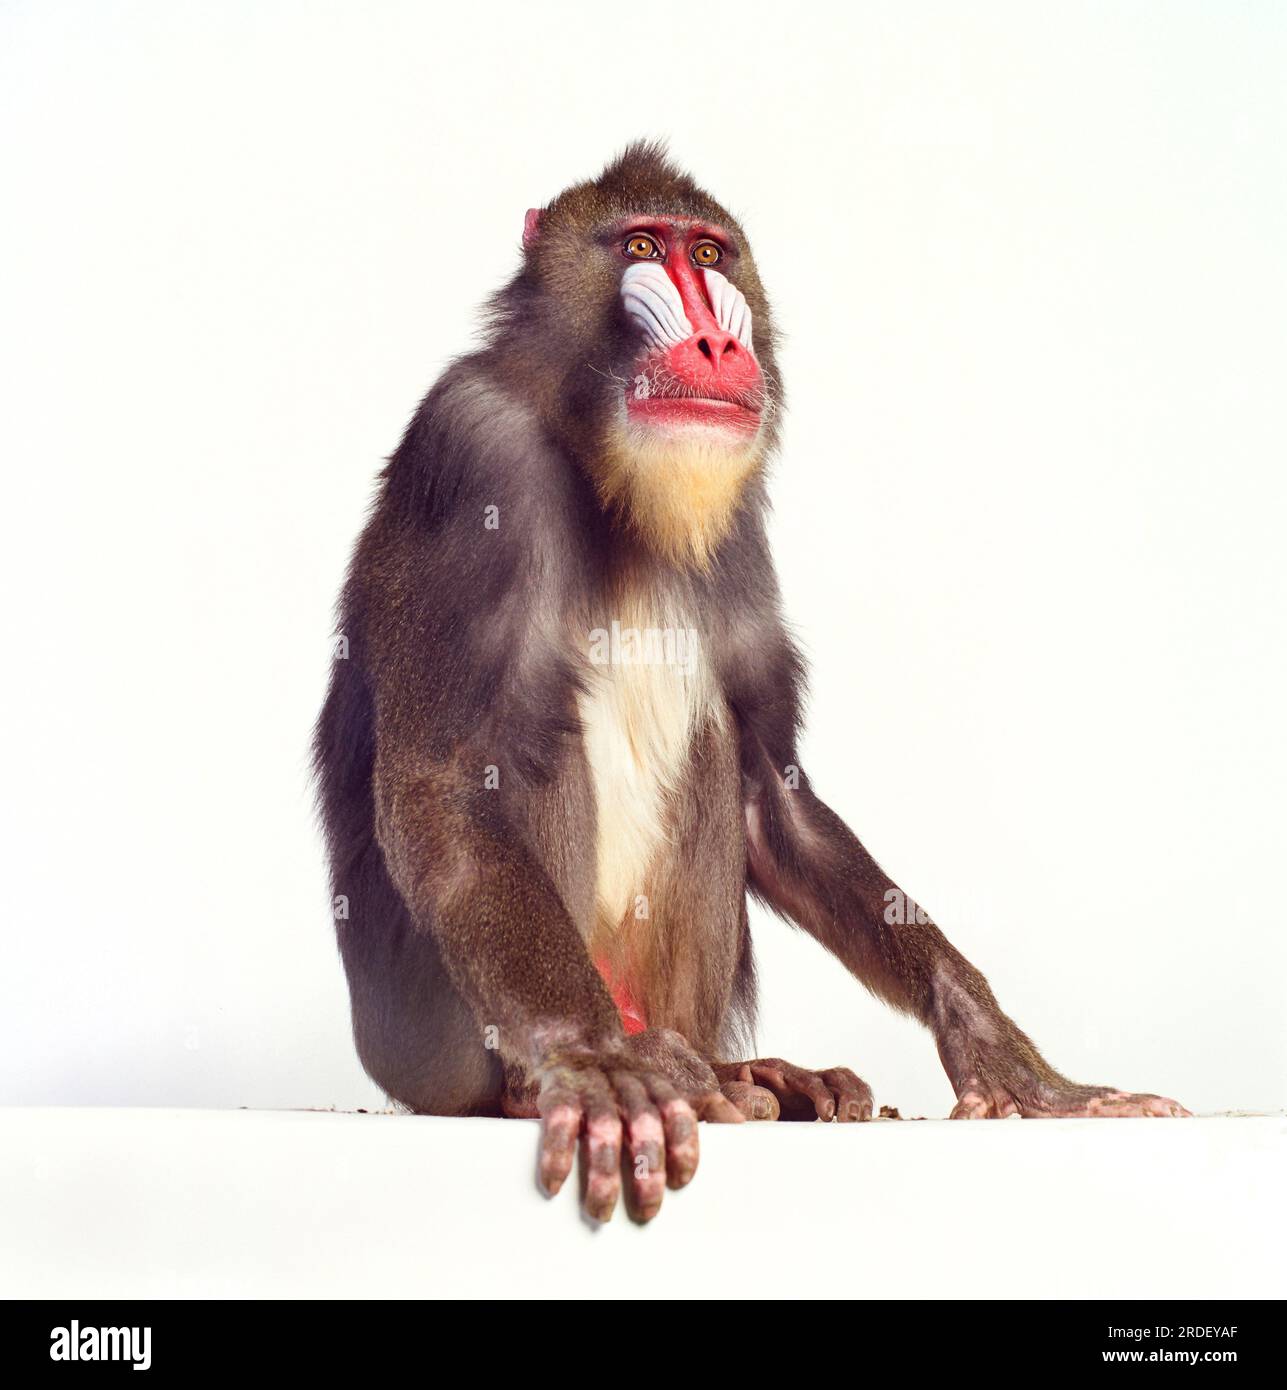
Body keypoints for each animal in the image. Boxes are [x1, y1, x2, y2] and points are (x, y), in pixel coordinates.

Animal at [313, 141, 1189, 1224]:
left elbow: (774, 788)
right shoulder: (472, 454)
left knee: (713, 747)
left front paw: (1010, 1059)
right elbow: (443, 782)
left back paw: (741, 1079)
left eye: (709, 255)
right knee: (532, 749)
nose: (716, 343)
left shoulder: (737, 530)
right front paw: (592, 1063)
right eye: (641, 249)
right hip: (433, 1046)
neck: (605, 469)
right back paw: (574, 1078)